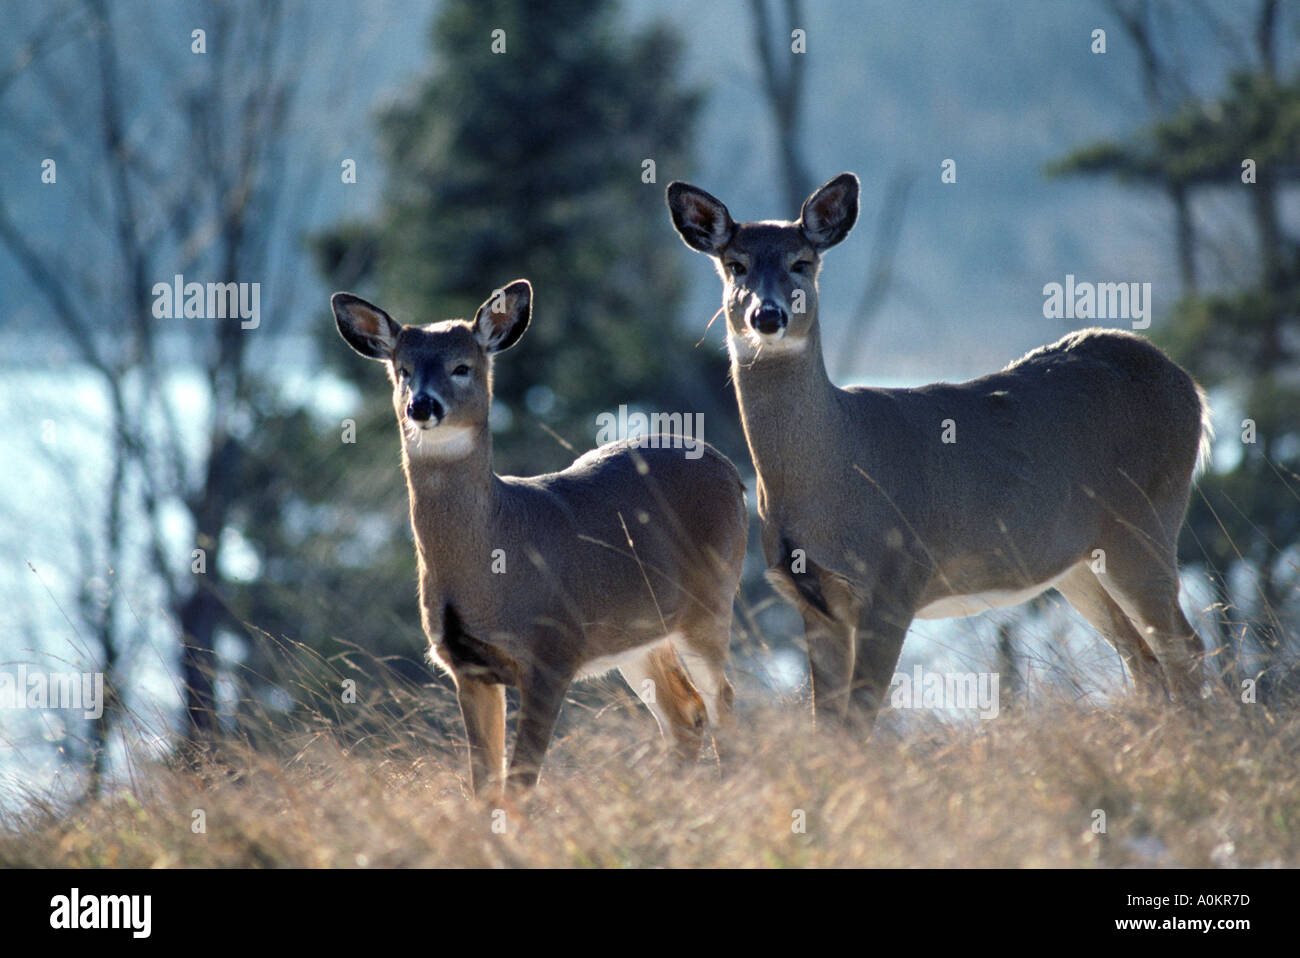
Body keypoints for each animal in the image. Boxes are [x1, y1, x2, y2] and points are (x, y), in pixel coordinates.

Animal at [331, 280, 747, 796]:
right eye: (403, 370)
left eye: (462, 366)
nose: (422, 405)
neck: (493, 555)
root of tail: (731, 469)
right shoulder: (467, 669)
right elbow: (484, 782)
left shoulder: (553, 650)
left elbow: (520, 782)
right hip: (639, 634)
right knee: (685, 713)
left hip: (709, 602)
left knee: (721, 701)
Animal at [667, 172, 1213, 733]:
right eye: (736, 264)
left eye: (803, 261)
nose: (767, 315)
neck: (835, 467)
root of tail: (1188, 386)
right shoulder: (814, 603)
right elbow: (830, 725)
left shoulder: (896, 580)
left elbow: (860, 720)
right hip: (1076, 562)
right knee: (1145, 660)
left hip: (1144, 520)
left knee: (1186, 649)